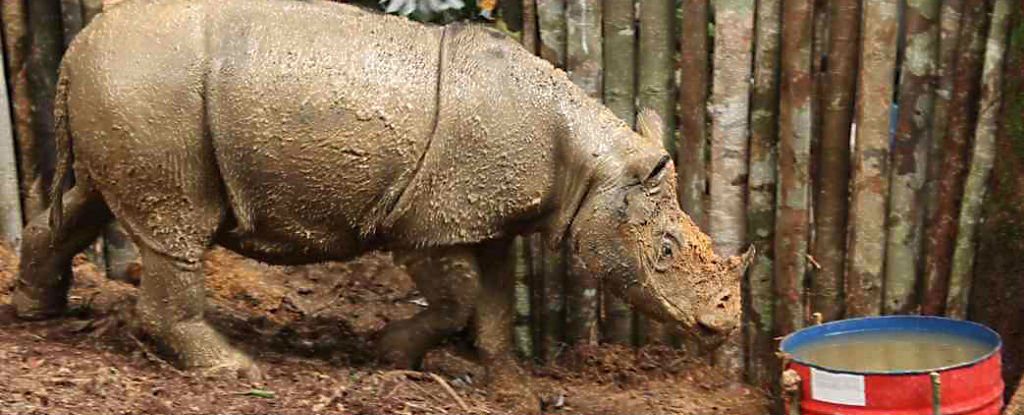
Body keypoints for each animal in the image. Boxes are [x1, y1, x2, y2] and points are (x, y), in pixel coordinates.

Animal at [12, 0, 752, 409]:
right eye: (664, 250)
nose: (727, 323)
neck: (593, 167)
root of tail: (75, 51)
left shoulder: (485, 218)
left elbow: (491, 306)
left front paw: (514, 391)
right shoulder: (426, 223)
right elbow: (458, 299)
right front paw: (390, 353)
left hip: (131, 92)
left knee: (86, 205)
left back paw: (35, 312)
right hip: (153, 89)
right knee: (175, 228)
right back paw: (235, 368)